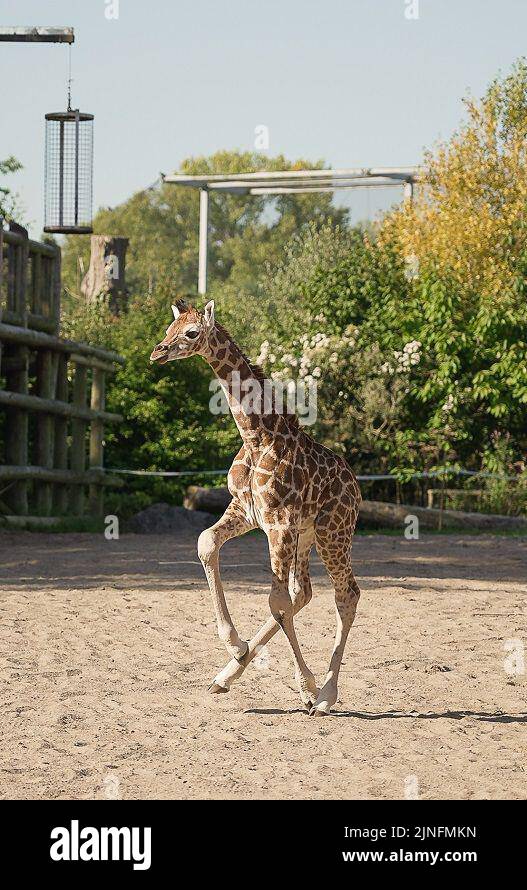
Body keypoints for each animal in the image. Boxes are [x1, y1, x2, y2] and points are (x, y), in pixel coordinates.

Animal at [150, 299, 361, 715]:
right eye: (169, 329)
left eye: (191, 333)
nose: (158, 353)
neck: (256, 436)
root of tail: (357, 490)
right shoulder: (248, 513)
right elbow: (206, 543)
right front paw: (236, 646)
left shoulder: (278, 523)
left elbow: (275, 600)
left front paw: (307, 688)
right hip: (307, 535)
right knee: (303, 592)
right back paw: (228, 674)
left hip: (333, 532)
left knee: (346, 594)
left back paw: (326, 696)